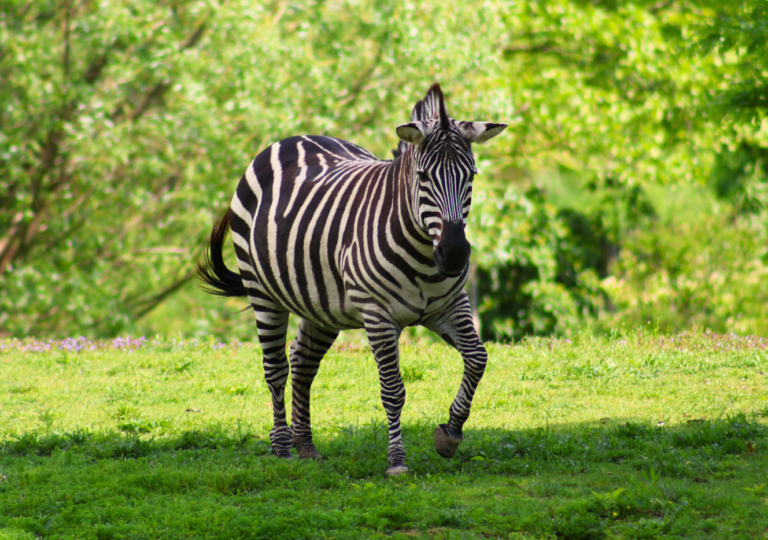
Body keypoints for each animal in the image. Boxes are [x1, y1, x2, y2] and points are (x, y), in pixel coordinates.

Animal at [198, 84, 506, 476]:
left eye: (472, 176)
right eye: (423, 177)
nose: (453, 255)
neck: (424, 252)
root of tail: (291, 139)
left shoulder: (450, 305)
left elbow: (478, 358)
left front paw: (450, 434)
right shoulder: (377, 314)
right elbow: (393, 389)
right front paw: (397, 461)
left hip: (322, 305)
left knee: (302, 362)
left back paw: (305, 445)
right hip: (262, 293)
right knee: (276, 369)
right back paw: (282, 448)